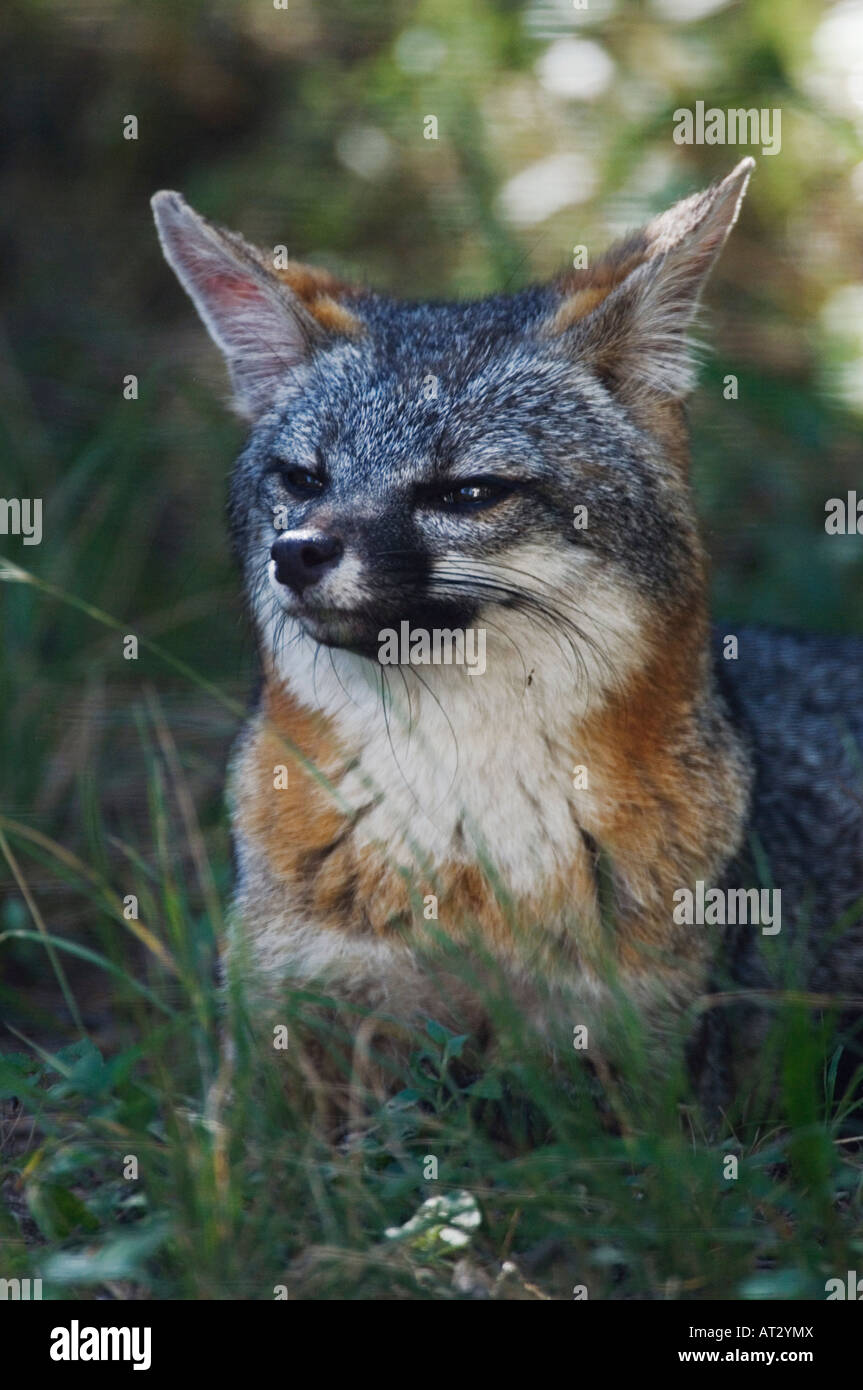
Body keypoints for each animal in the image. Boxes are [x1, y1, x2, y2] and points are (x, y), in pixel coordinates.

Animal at [152, 159, 863, 1107]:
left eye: (468, 493)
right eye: (303, 480)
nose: (295, 552)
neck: (454, 837)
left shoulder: (636, 1075)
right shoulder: (277, 1038)